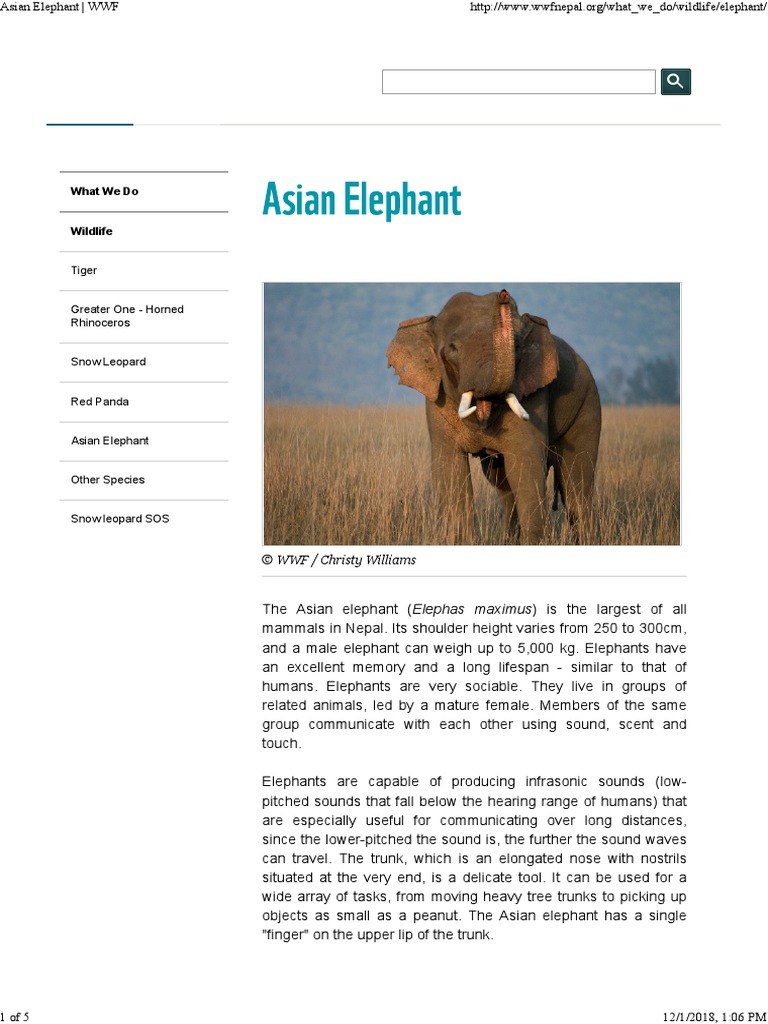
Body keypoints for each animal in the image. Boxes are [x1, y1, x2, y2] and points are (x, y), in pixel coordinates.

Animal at [386, 289, 601, 544]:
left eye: (517, 346)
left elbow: (525, 466)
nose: (503, 294)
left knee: (577, 486)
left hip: (588, 405)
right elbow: (451, 470)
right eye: (453, 347)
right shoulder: (437, 400)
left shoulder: (533, 393)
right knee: (504, 487)